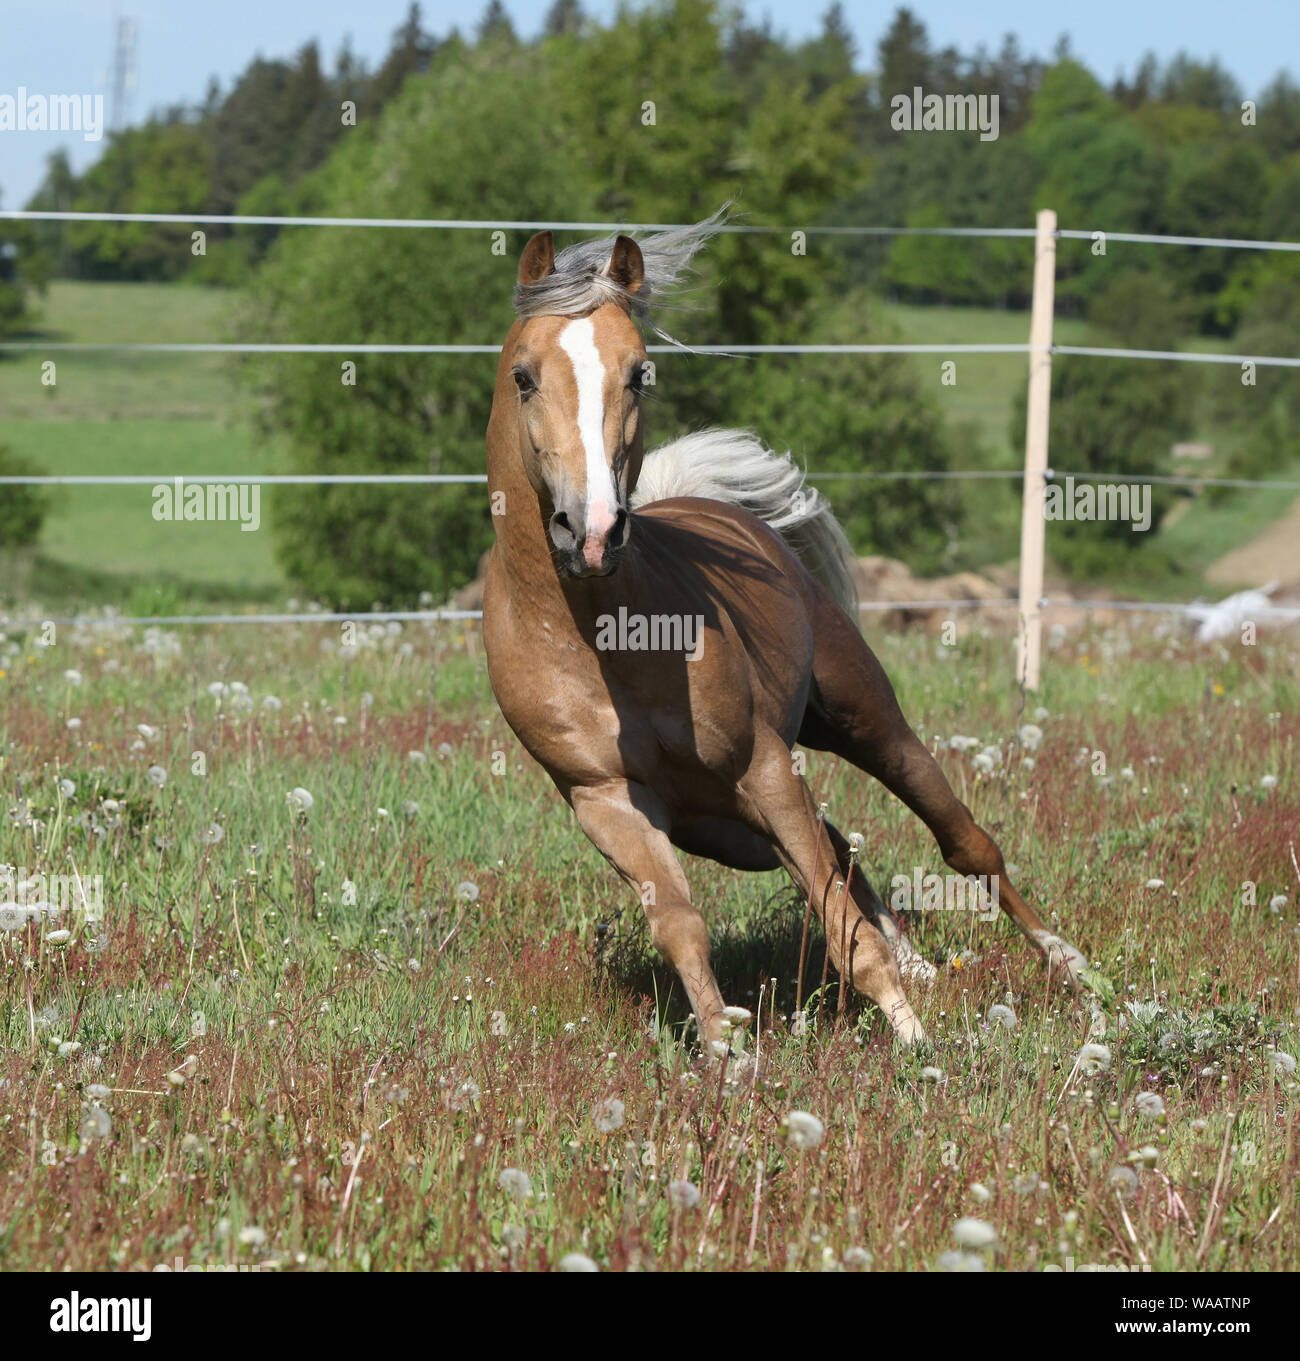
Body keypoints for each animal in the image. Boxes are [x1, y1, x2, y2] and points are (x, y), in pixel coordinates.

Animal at [481, 214, 1087, 1050]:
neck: (601, 637)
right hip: (726, 830)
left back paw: (1070, 965)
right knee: (839, 845)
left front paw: (917, 1047)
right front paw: (726, 1055)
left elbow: (846, 931)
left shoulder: (762, 765)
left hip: (862, 726)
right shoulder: (608, 804)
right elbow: (682, 925)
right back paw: (929, 966)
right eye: (524, 376)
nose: (593, 530)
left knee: (959, 840)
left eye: (639, 374)